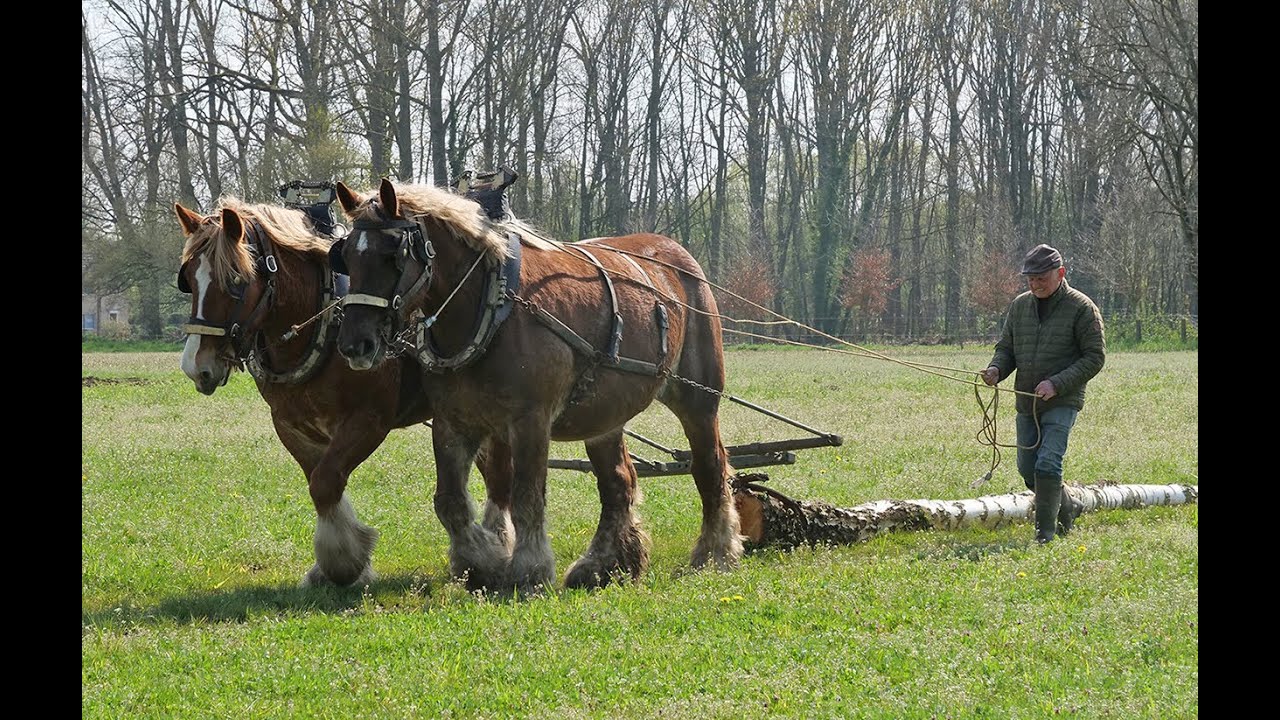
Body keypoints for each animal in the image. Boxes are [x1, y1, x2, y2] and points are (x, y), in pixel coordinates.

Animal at [173, 198, 516, 588]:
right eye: (189, 279)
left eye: (235, 281)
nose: (196, 366)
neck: (321, 321)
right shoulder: (292, 425)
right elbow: (320, 483)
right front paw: (335, 563)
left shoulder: (368, 420)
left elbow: (326, 481)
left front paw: (345, 563)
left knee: (500, 477)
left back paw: (496, 544)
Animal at [329, 178, 743, 593]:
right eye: (345, 255)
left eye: (393, 254)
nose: (354, 344)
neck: (491, 306)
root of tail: (677, 253)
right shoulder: (452, 424)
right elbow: (449, 502)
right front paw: (482, 563)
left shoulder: (530, 420)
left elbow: (527, 496)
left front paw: (529, 570)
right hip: (604, 415)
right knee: (618, 482)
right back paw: (606, 564)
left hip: (698, 400)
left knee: (710, 467)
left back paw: (715, 552)